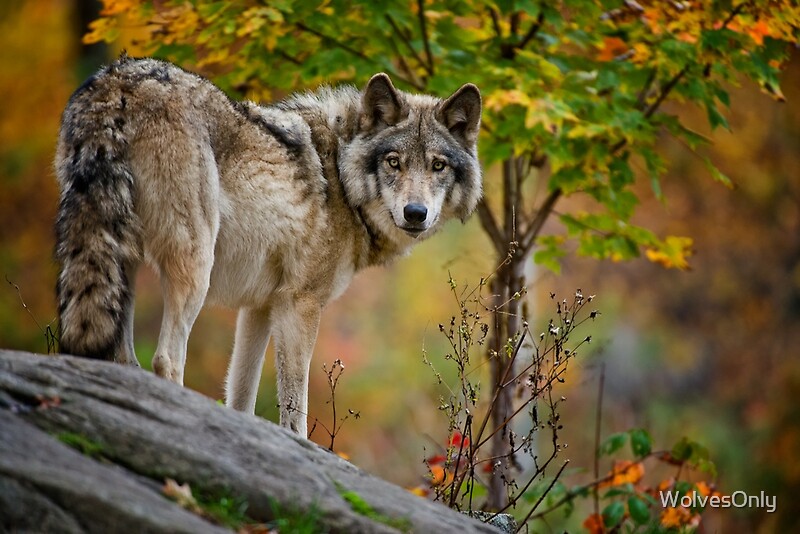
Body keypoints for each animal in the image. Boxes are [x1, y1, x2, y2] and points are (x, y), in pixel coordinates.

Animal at [55, 55, 481, 436]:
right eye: (394, 162)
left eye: (438, 166)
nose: (415, 213)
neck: (342, 178)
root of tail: (117, 82)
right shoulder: (299, 305)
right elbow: (295, 410)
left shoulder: (259, 307)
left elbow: (241, 396)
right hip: (195, 265)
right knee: (166, 360)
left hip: (119, 258)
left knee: (122, 357)